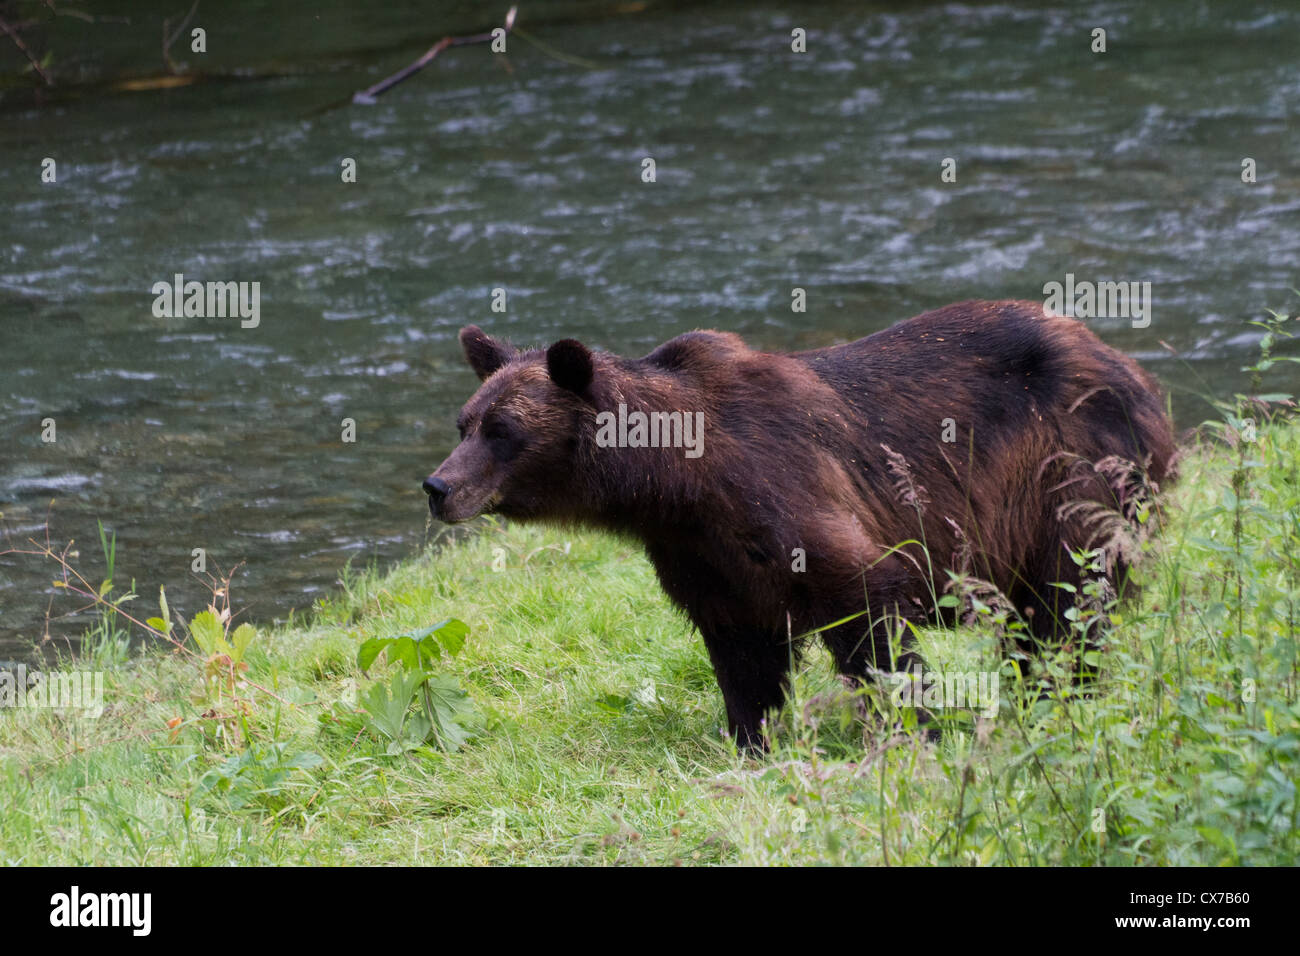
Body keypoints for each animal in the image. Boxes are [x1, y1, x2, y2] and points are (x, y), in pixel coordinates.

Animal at [423, 300, 1176, 751]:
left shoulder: (788, 492)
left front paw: (914, 720)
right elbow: (741, 650)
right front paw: (746, 735)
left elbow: (868, 606)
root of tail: (1132, 369)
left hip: (1069, 474)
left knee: (1068, 599)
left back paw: (1056, 691)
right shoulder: (701, 553)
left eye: (503, 431)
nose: (438, 488)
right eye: (464, 423)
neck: (677, 480)